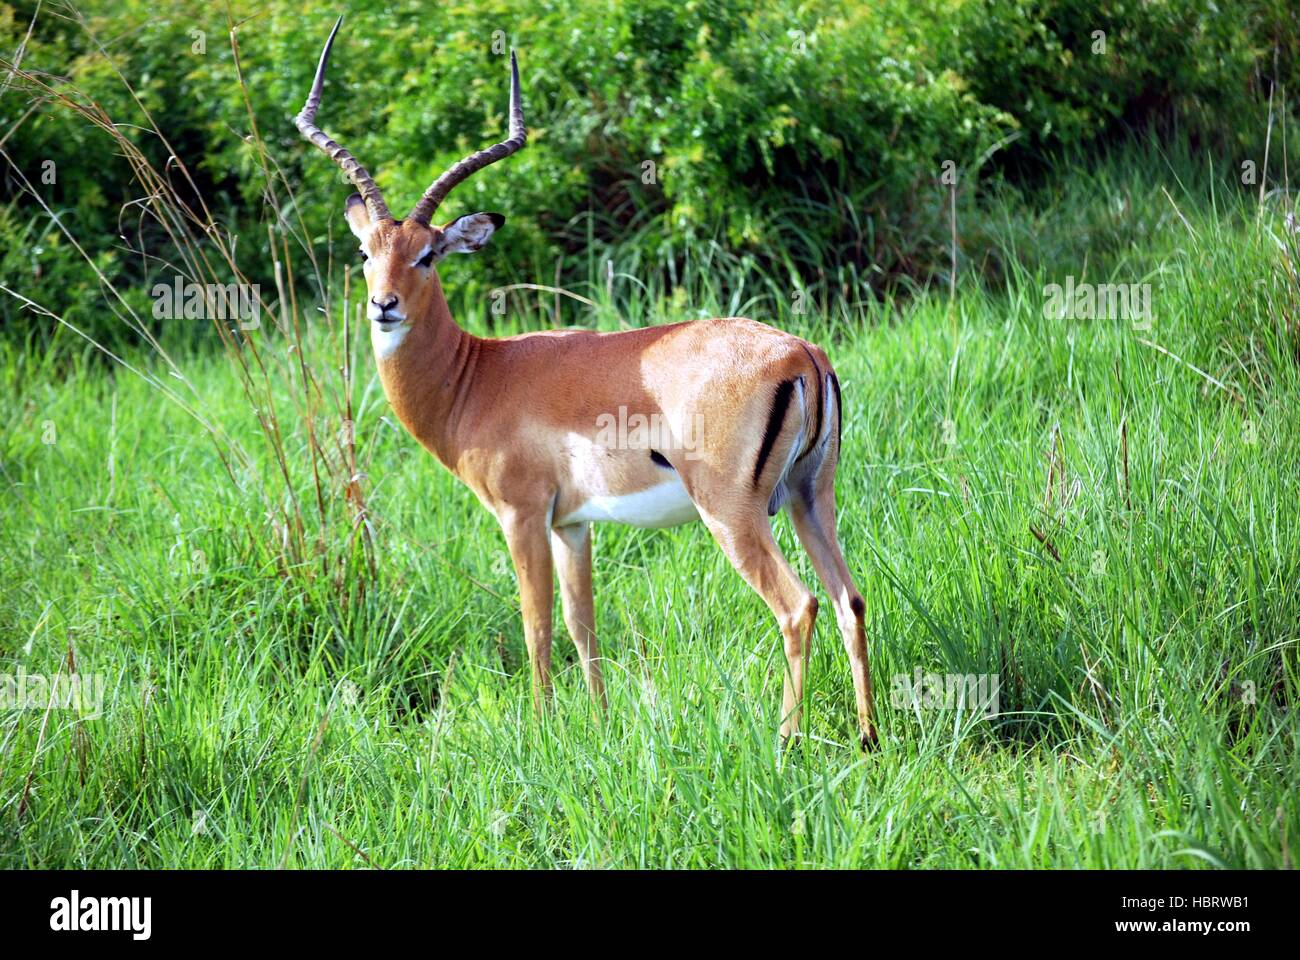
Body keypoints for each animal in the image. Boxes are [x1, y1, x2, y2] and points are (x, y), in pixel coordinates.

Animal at [295, 18, 877, 748]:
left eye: (428, 255)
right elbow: (582, 624)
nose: (384, 306)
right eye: (366, 252)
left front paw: (542, 730)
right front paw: (598, 725)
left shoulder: (521, 513)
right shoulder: (572, 524)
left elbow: (536, 624)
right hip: (809, 498)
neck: (476, 376)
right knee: (850, 599)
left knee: (798, 606)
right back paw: (869, 737)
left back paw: (785, 740)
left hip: (732, 512)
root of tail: (801, 353)